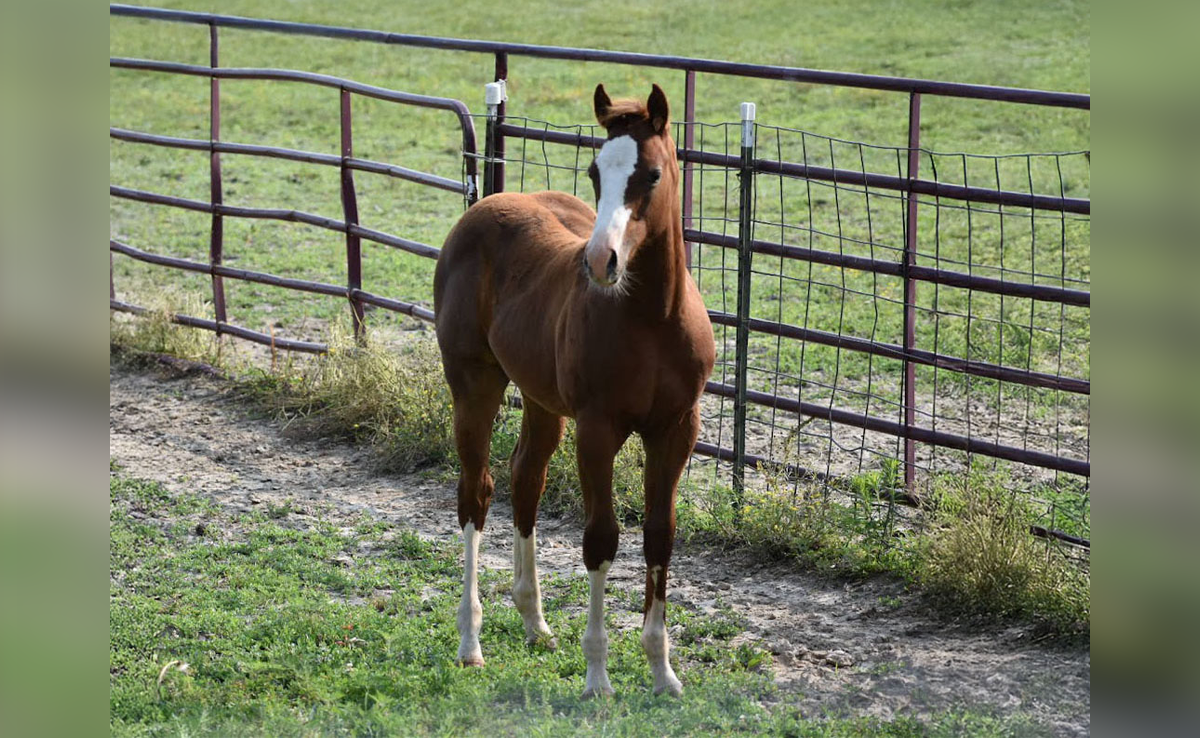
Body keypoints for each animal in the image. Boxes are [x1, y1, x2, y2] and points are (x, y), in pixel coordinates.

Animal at [433, 83, 715, 698]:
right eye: (594, 170)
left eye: (652, 174)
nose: (599, 261)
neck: (651, 318)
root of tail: (482, 207)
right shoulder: (597, 428)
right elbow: (601, 539)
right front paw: (598, 678)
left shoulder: (676, 428)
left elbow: (660, 534)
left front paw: (662, 672)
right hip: (474, 384)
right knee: (476, 492)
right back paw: (470, 642)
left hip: (541, 400)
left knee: (525, 478)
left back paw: (534, 621)